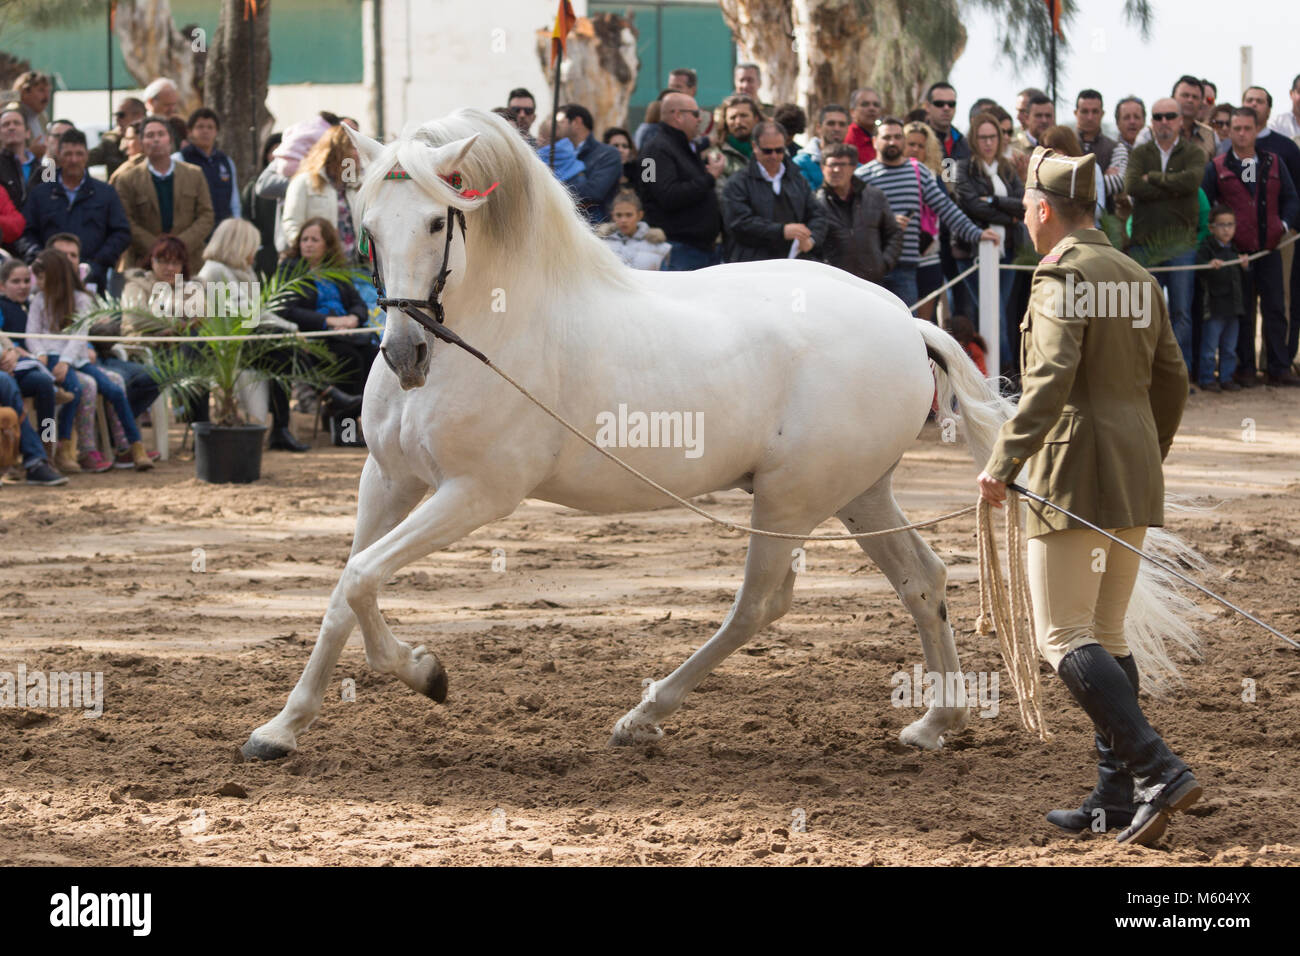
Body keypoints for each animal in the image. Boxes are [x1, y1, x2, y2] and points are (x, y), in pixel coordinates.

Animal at [241, 108, 1193, 761]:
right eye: (367, 225)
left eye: (439, 221)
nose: (404, 353)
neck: (489, 332)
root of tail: (902, 319)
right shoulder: (390, 480)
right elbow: (347, 591)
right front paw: (288, 725)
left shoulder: (475, 495)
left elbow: (361, 579)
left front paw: (419, 674)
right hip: (859, 493)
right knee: (922, 579)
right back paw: (933, 722)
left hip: (792, 498)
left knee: (761, 604)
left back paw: (645, 713)